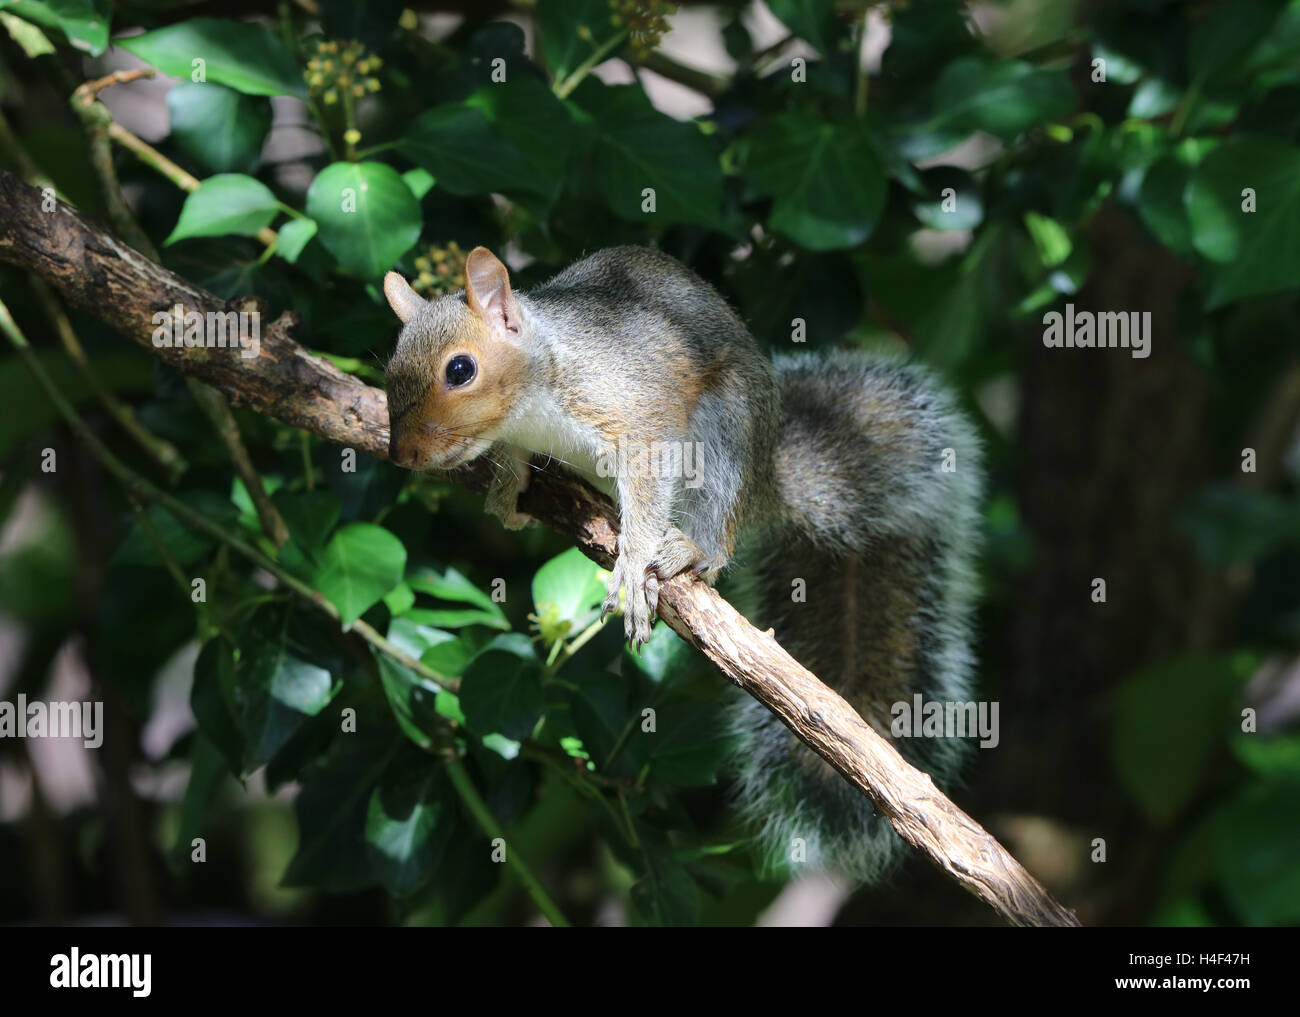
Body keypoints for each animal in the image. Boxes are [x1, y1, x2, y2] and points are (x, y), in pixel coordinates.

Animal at [383, 245, 984, 883]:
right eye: (390, 362)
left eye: (460, 370)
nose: (404, 454)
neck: (539, 389)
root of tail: (767, 479)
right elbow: (516, 457)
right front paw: (506, 486)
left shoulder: (637, 414)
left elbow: (648, 487)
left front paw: (632, 566)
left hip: (723, 439)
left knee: (717, 538)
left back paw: (690, 550)